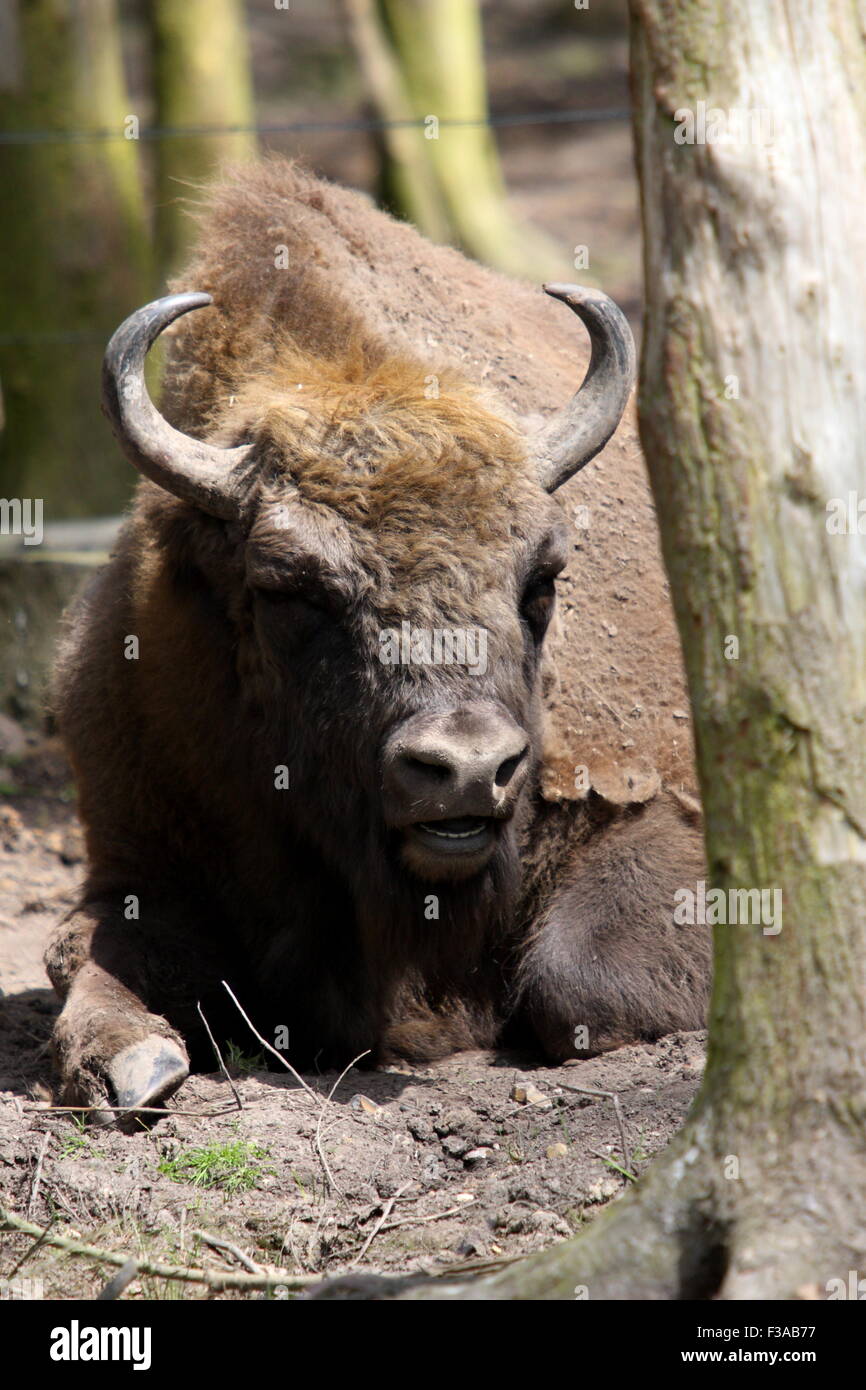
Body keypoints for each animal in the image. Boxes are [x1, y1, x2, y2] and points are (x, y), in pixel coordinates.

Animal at [45, 161, 710, 1116]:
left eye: (543, 579)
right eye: (287, 587)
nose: (466, 768)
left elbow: (583, 977)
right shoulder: (136, 860)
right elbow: (90, 950)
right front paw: (128, 1061)